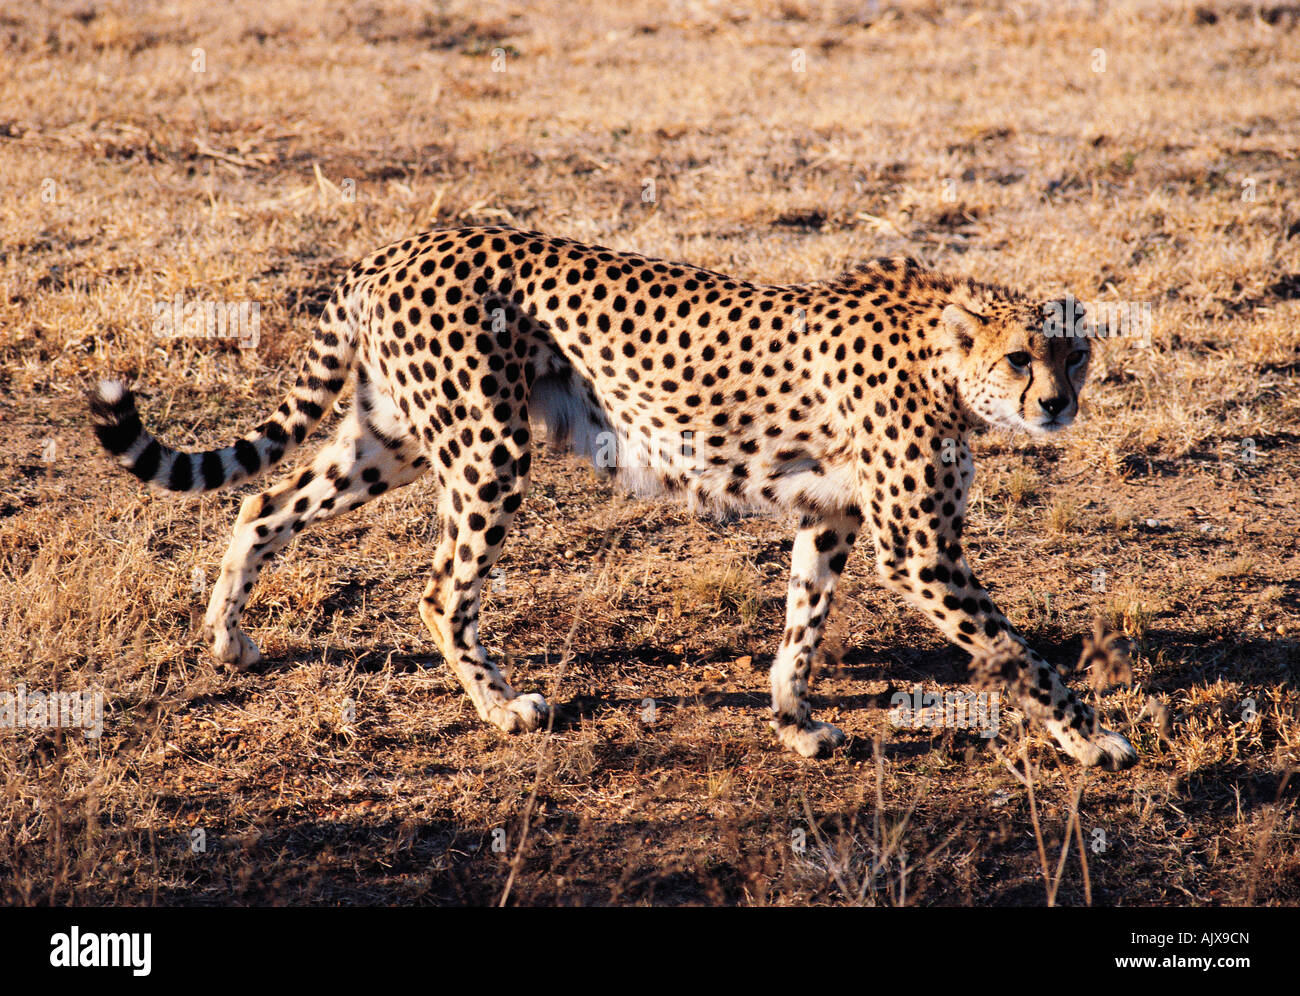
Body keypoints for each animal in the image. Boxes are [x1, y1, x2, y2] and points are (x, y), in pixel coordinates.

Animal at [90, 225, 1137, 770]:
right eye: (1021, 358)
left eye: (1075, 354)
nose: (1058, 403)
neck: (944, 364)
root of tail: (400, 244)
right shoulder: (920, 549)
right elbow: (1021, 655)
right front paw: (1096, 742)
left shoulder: (829, 518)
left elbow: (802, 626)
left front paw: (794, 721)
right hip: (487, 447)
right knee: (440, 589)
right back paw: (502, 709)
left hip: (391, 440)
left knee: (262, 505)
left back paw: (228, 639)